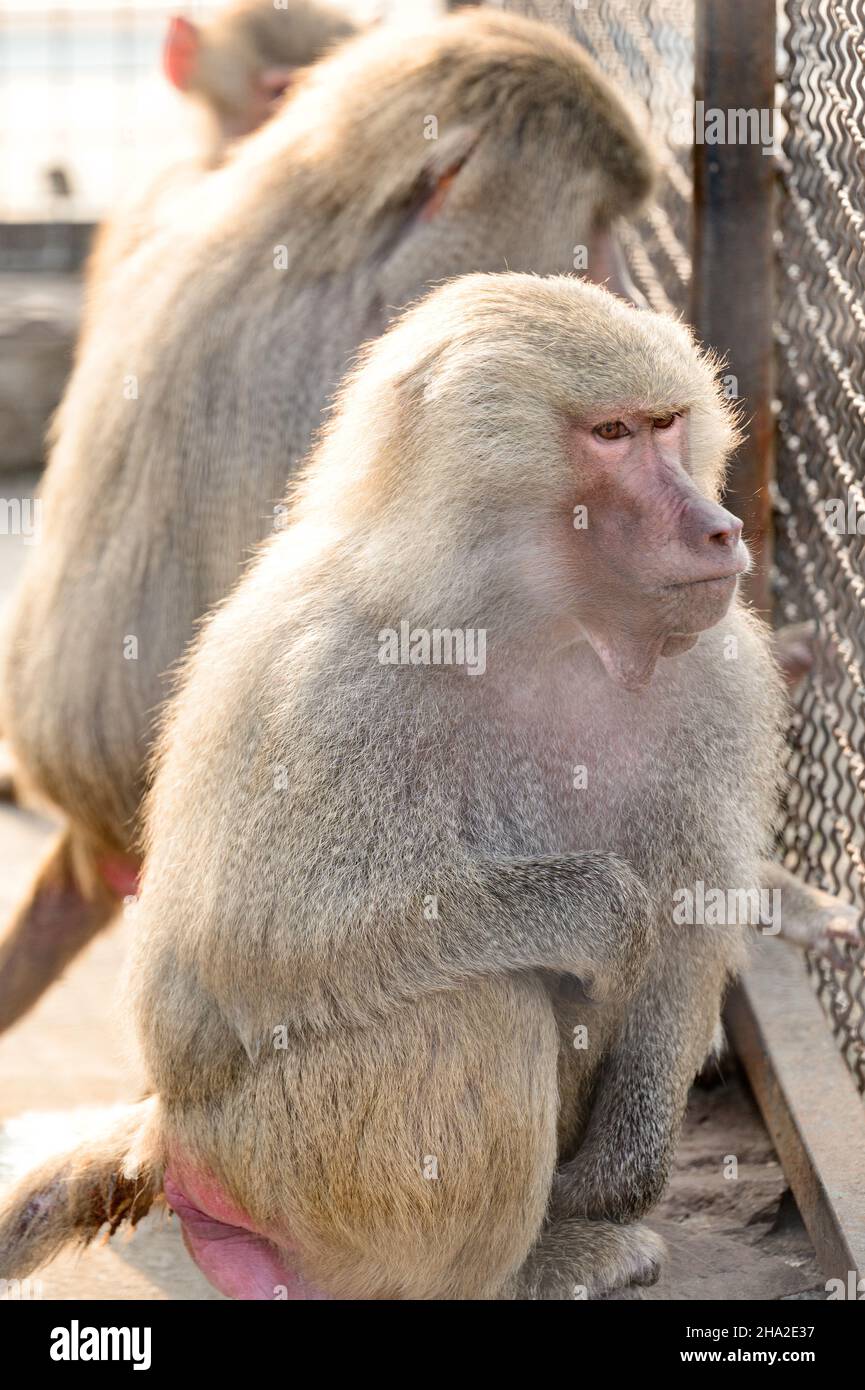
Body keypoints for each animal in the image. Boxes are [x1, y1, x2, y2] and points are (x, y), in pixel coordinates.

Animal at [0, 272, 785, 1298]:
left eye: (668, 424)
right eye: (611, 434)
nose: (718, 528)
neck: (535, 625)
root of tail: (170, 1134)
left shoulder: (715, 681)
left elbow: (691, 929)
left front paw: (623, 1167)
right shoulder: (324, 681)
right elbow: (256, 937)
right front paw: (604, 916)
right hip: (268, 1152)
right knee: (478, 1003)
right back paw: (513, 1272)